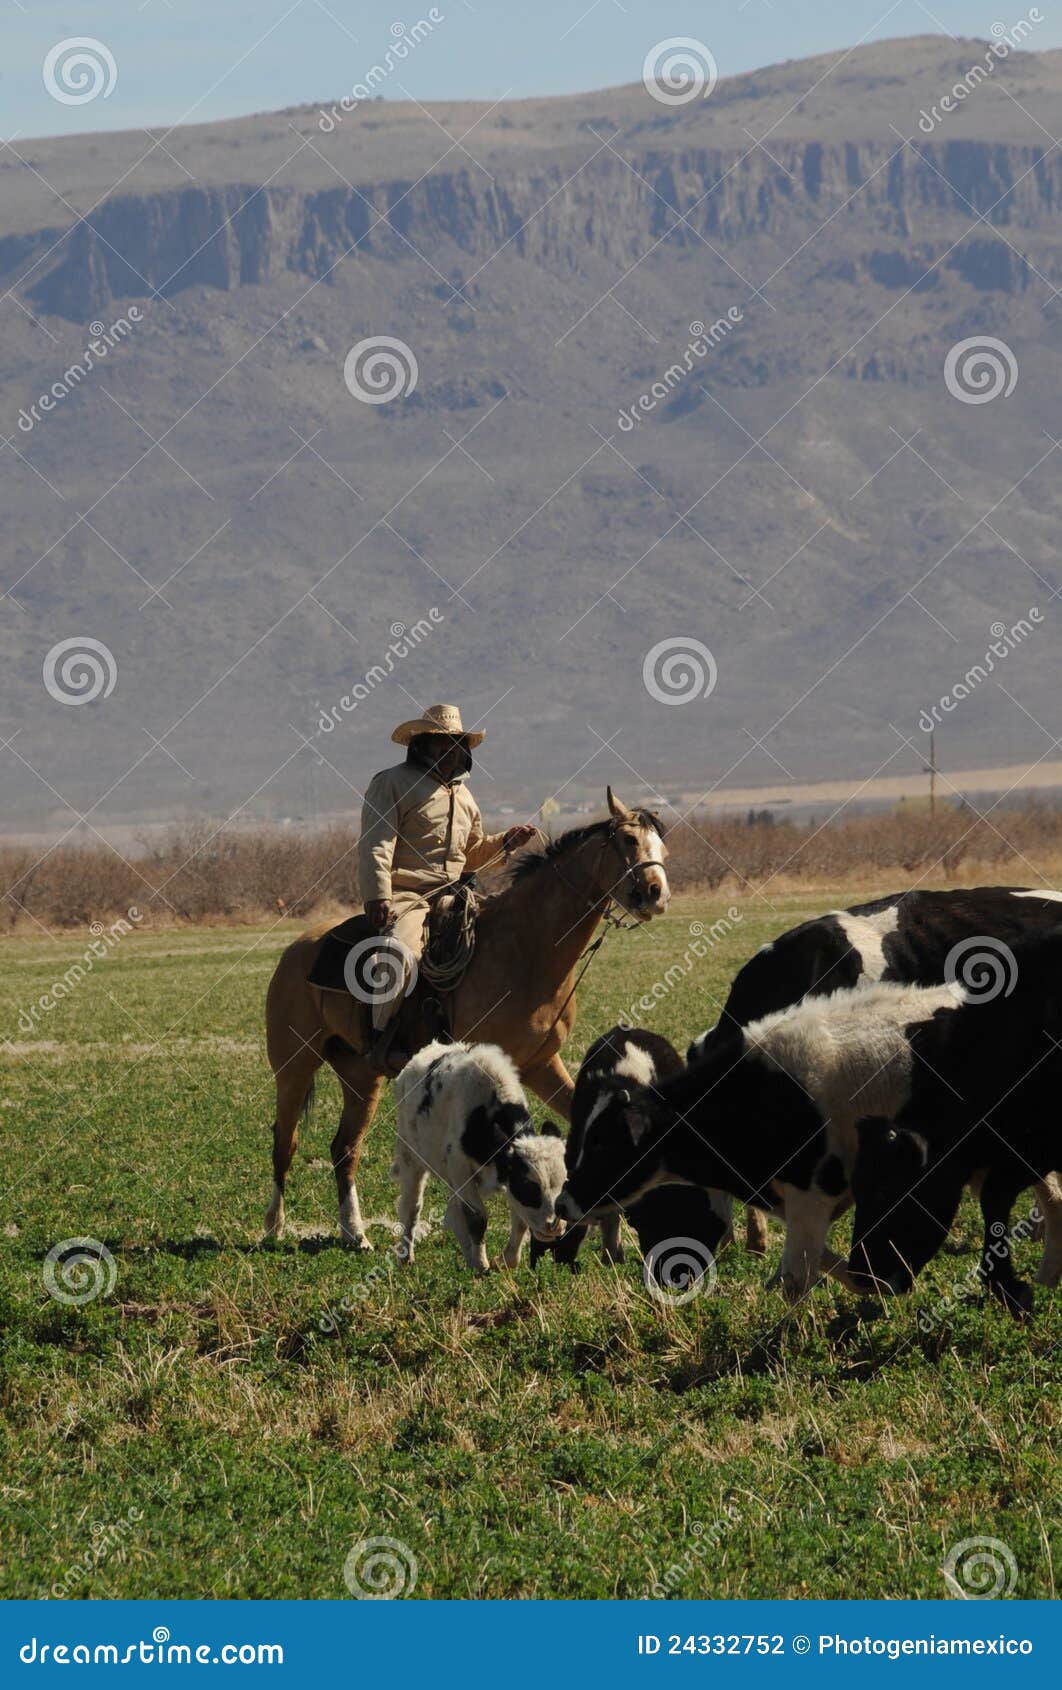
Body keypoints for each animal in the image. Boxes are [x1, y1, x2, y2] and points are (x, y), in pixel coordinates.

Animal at [392, 1040, 567, 1272]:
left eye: (564, 1182)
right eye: (528, 1185)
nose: (554, 1226)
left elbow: (519, 1220)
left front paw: (505, 1260)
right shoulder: (462, 1171)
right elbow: (477, 1218)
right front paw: (481, 1264)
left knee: (453, 1214)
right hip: (411, 1158)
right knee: (411, 1208)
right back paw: (406, 1258)